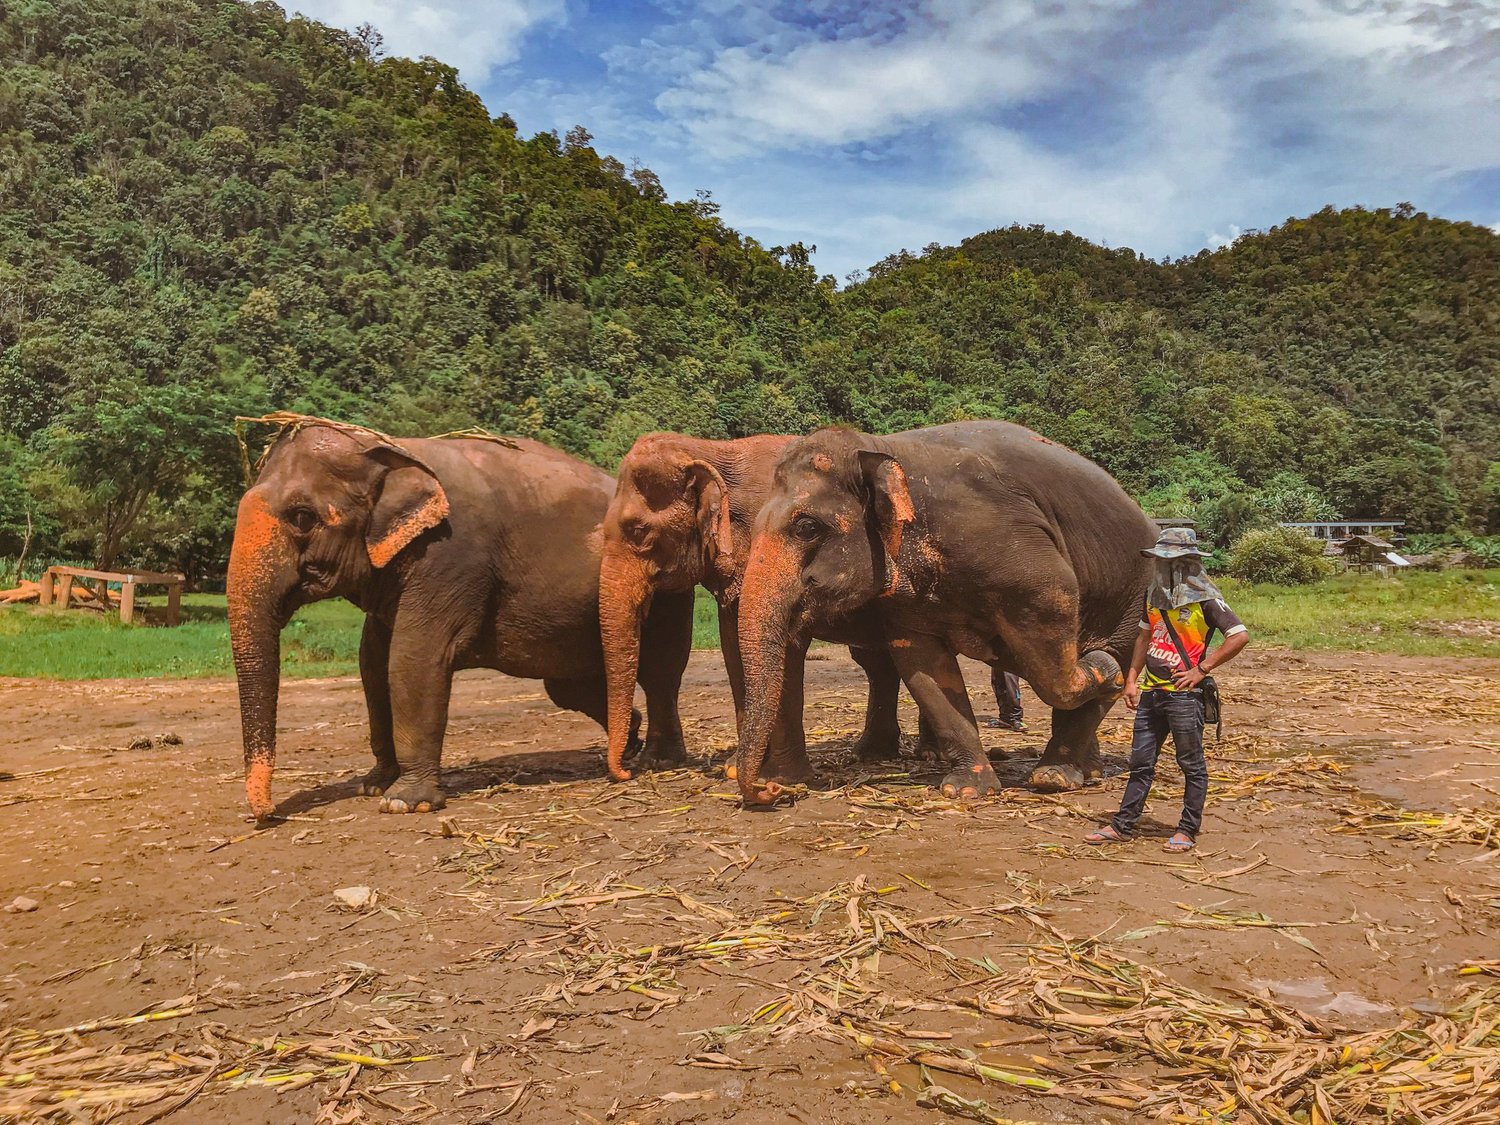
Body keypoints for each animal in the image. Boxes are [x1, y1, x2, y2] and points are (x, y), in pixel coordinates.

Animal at [227, 417, 691, 821]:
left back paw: (657, 761)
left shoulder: (450, 555)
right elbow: (372, 663)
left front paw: (404, 803)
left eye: (302, 517)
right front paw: (374, 784)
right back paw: (628, 740)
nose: (269, 814)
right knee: (568, 687)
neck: (394, 449)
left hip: (666, 591)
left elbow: (413, 659)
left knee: (660, 672)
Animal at [598, 432, 926, 785]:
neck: (712, 449)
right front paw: (735, 768)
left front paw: (779, 779)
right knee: (879, 663)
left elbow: (786, 648)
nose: (626, 772)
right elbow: (733, 646)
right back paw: (875, 754)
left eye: (638, 531)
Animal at [734, 420, 1156, 806]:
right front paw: (967, 789)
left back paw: (1056, 773)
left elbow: (1054, 608)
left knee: (1105, 655)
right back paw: (1085, 768)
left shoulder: (1014, 554)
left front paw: (1103, 668)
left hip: (1137, 593)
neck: (882, 449)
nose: (771, 790)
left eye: (807, 527)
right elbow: (925, 668)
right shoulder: (905, 605)